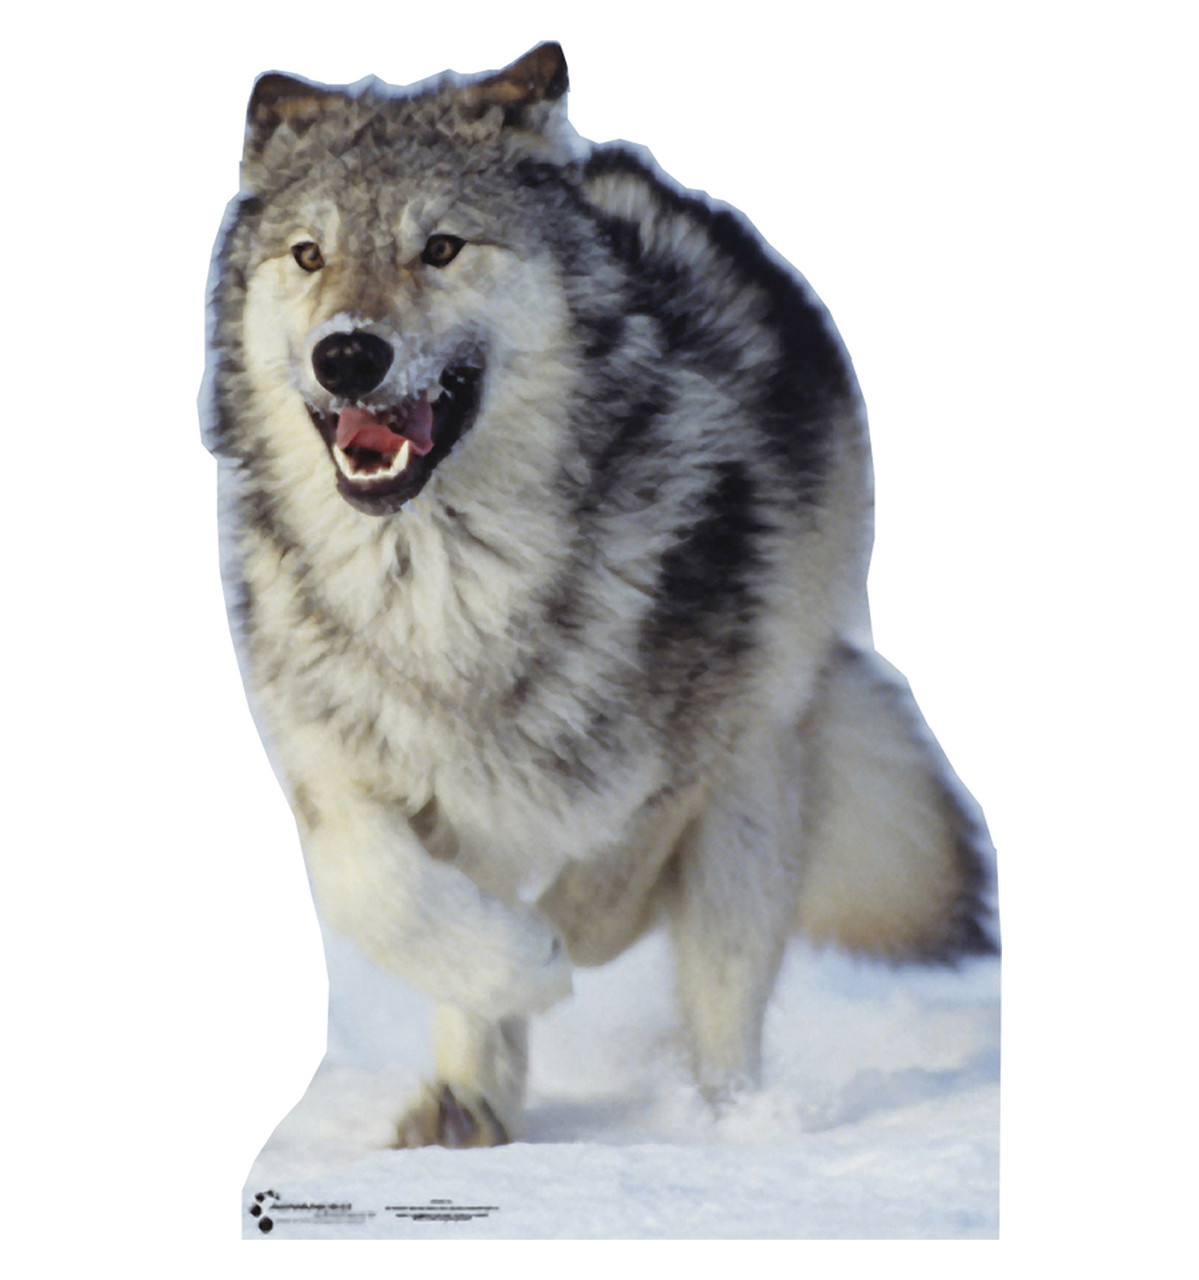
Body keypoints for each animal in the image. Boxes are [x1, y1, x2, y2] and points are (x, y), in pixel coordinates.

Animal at [203, 42, 996, 1148]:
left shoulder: (693, 756)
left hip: (759, 776)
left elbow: (609, 890)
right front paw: (509, 966)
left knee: (718, 988)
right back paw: (466, 1105)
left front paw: (550, 945)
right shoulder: (334, 762)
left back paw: (722, 1129)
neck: (445, 582)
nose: (348, 352)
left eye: (440, 247)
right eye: (309, 255)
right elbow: (379, 890)